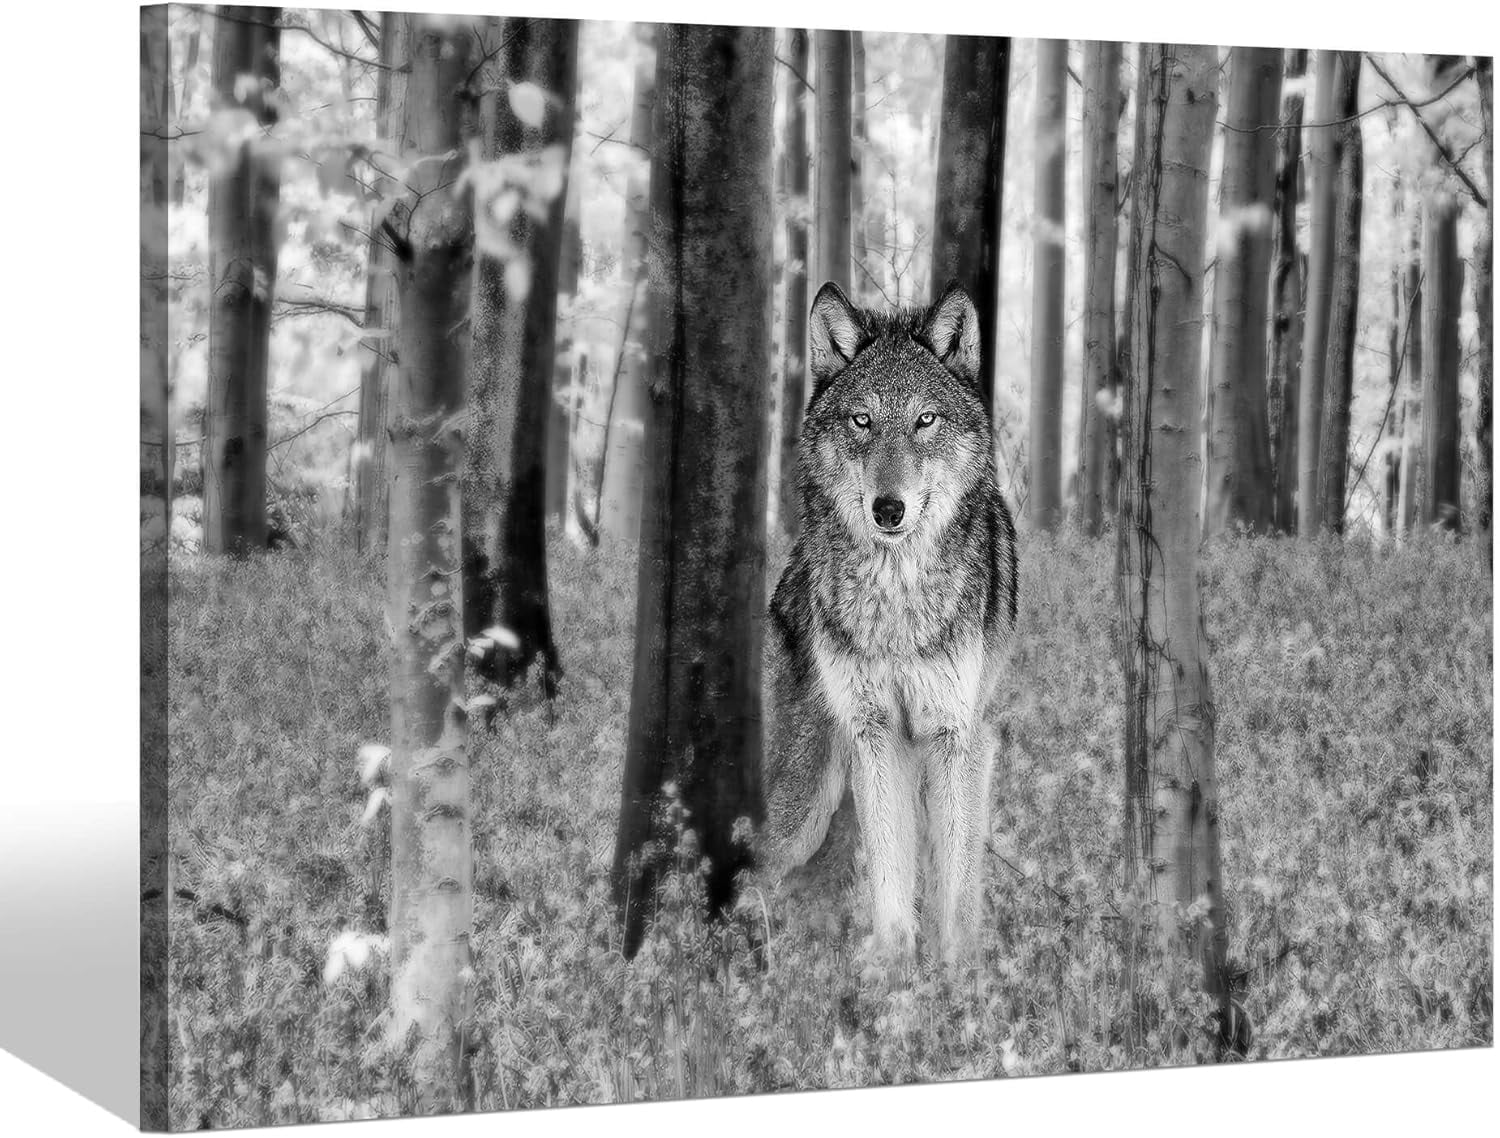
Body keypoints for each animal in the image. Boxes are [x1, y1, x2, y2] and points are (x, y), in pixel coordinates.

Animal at [764, 281, 1018, 962]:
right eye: (863, 421)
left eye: (924, 421)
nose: (888, 509)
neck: (897, 598)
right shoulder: (875, 734)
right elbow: (889, 875)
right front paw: (895, 970)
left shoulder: (957, 735)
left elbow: (954, 885)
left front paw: (956, 975)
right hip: (810, 791)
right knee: (760, 865)